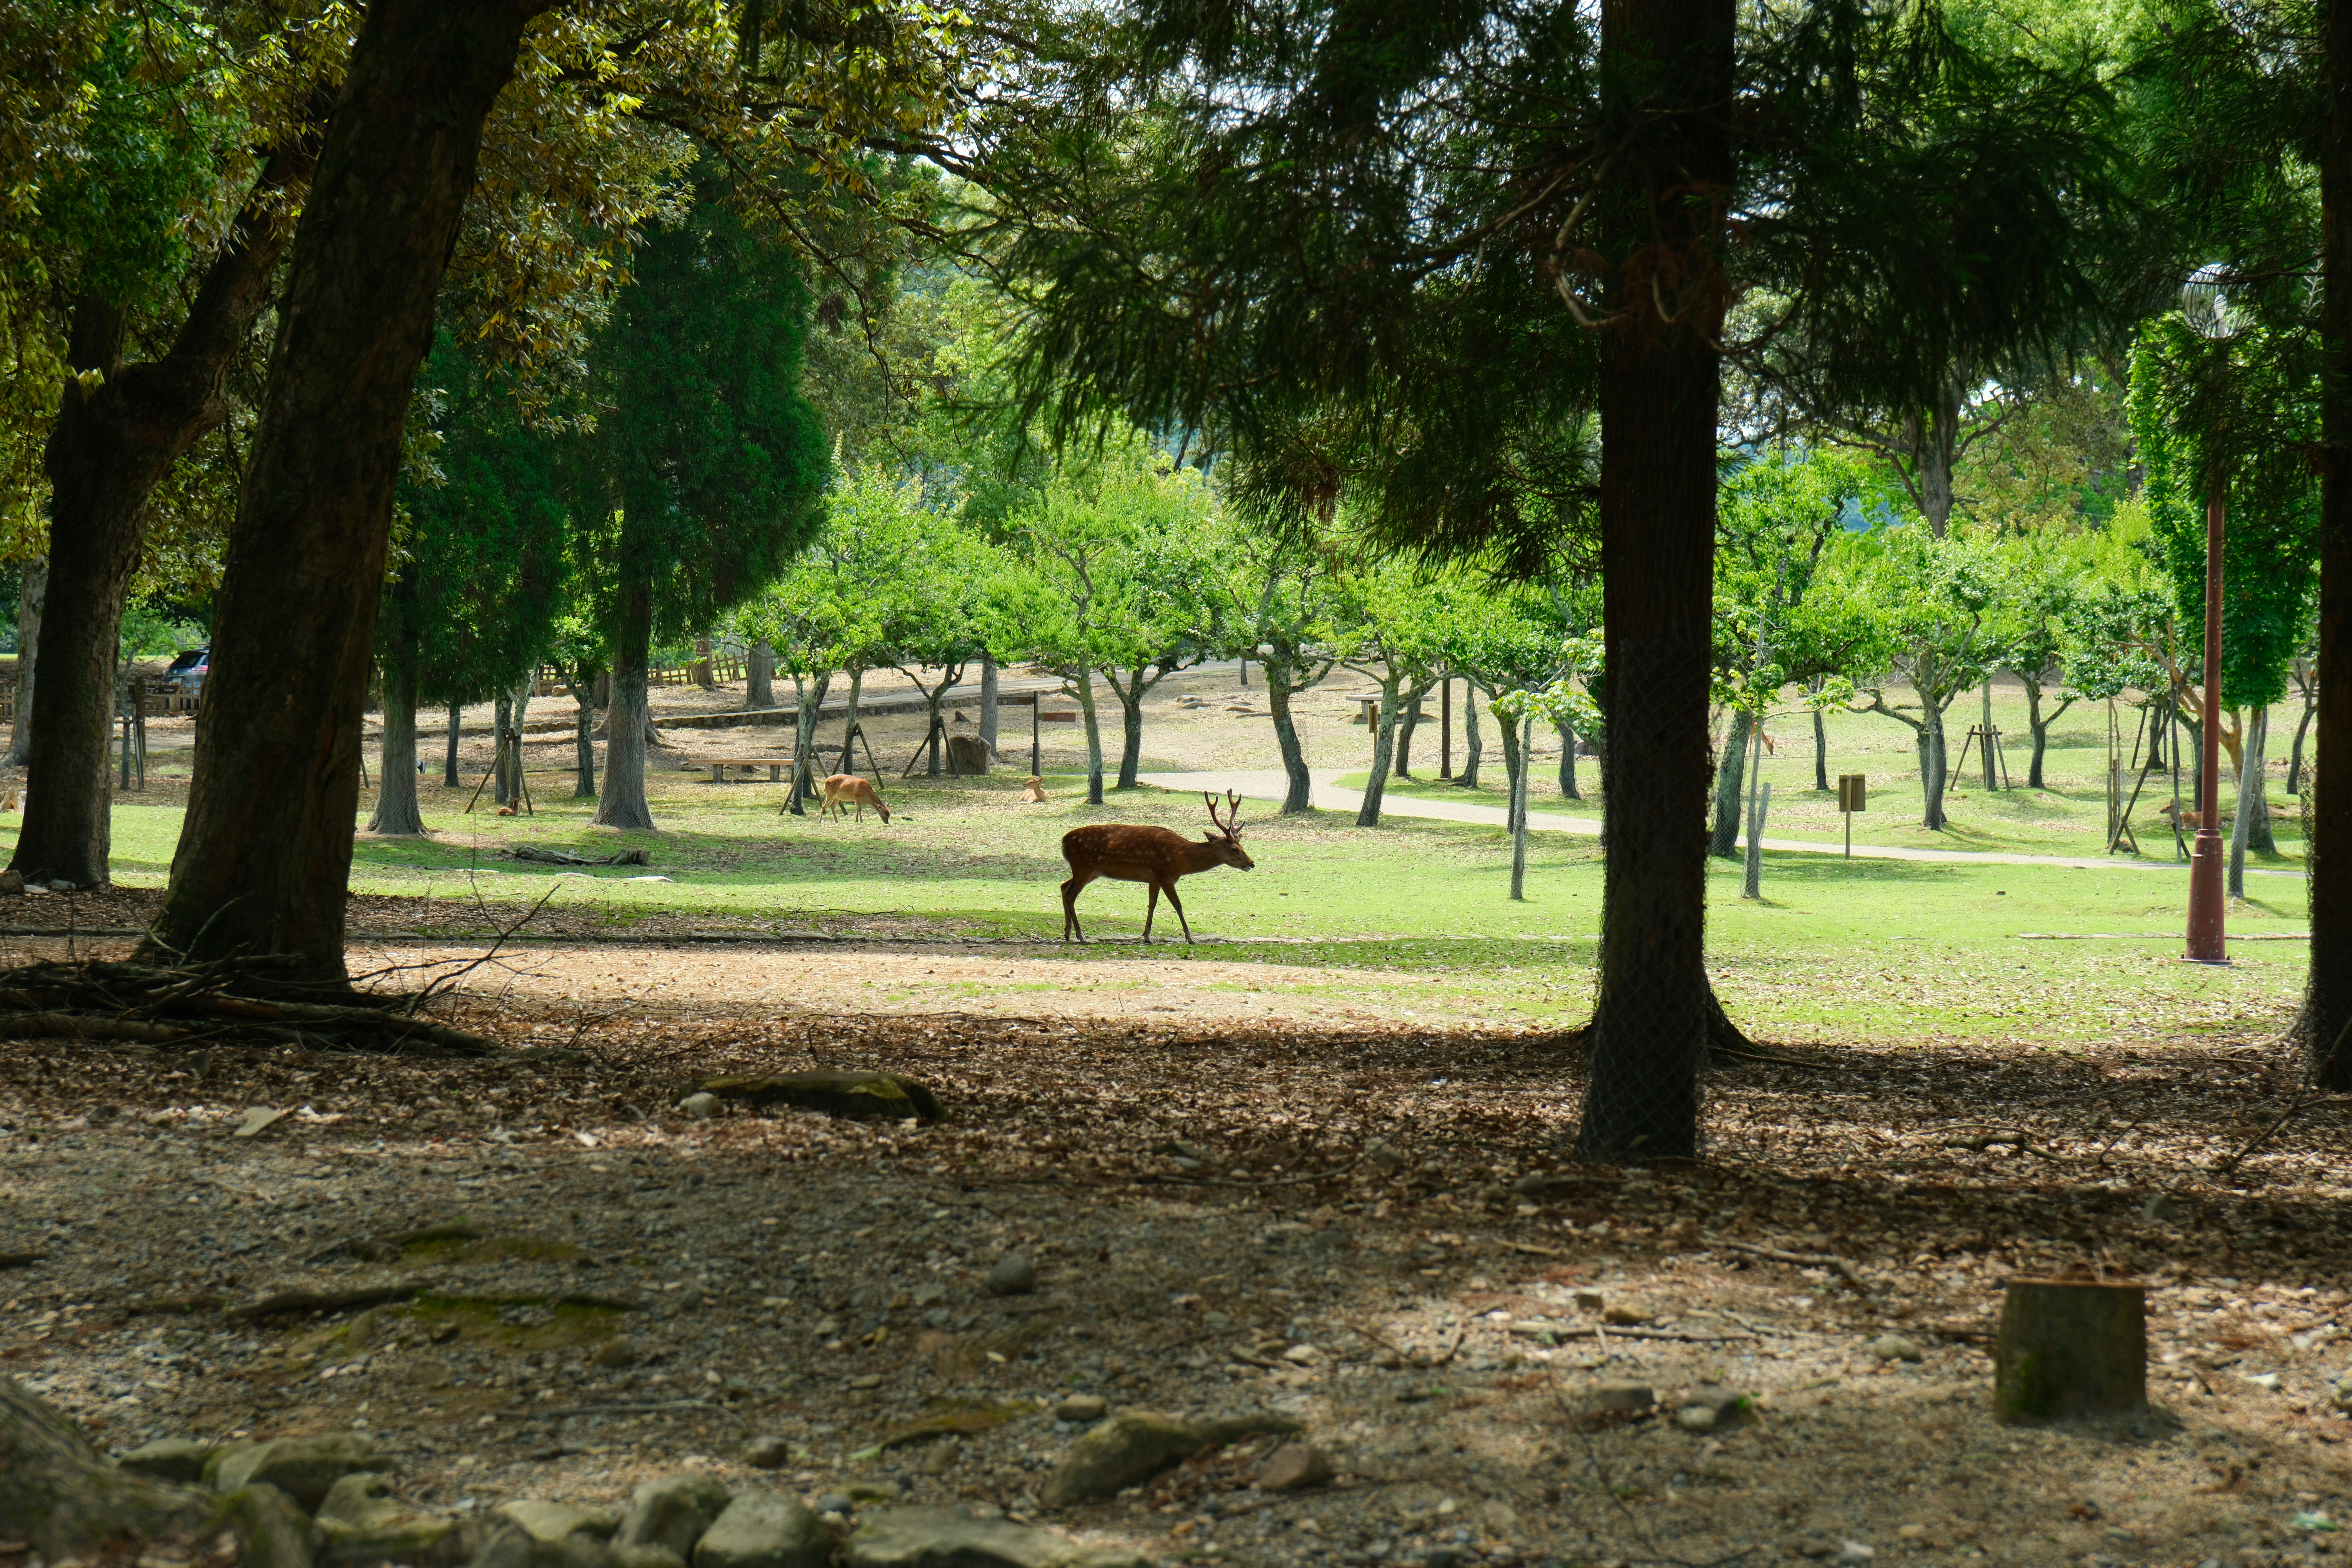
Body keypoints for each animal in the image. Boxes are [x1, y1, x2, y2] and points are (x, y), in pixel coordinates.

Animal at [819, 773, 892, 823]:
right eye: (884, 816)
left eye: (889, 815)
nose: (887, 823)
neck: (866, 797)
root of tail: (826, 781)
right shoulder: (856, 797)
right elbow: (860, 809)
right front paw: (861, 821)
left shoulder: (858, 800)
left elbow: (857, 809)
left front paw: (856, 821)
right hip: (830, 793)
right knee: (824, 804)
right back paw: (820, 821)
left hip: (837, 797)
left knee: (832, 805)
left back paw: (837, 821)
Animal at [1060, 790, 1254, 945]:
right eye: (1235, 849)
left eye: (1242, 845)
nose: (1252, 864)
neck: (1184, 859)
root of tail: (1064, 841)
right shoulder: (1166, 875)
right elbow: (1178, 905)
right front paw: (1191, 938)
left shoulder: (1154, 879)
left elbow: (1152, 904)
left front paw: (1147, 937)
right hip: (1083, 866)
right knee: (1071, 895)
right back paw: (1081, 936)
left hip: (1089, 871)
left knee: (1064, 886)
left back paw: (1068, 933)